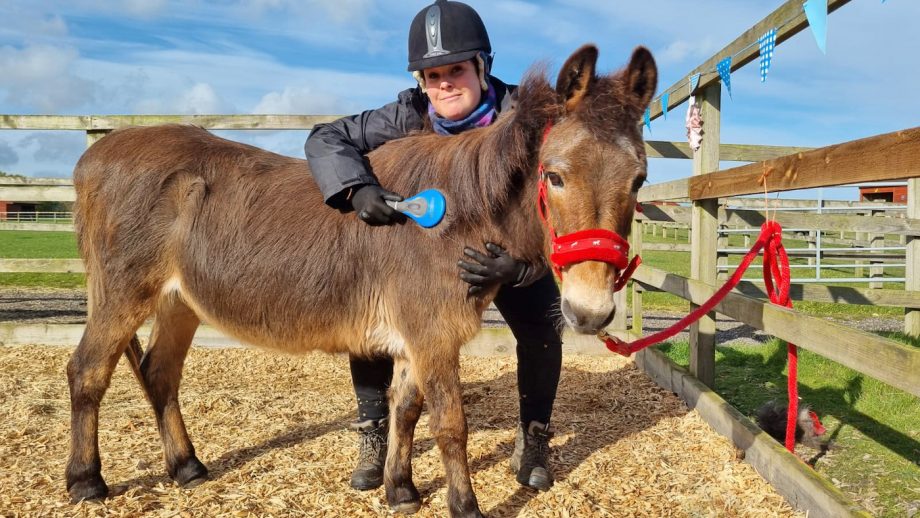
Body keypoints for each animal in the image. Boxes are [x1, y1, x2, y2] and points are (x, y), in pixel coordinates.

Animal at [65, 44, 656, 517]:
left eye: (640, 179)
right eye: (554, 176)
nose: (591, 311)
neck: (458, 214)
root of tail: (94, 154)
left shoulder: (419, 337)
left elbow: (406, 409)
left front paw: (401, 490)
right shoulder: (434, 337)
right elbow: (450, 425)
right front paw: (464, 506)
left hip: (179, 302)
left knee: (159, 374)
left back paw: (186, 468)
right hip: (123, 294)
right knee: (87, 371)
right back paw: (86, 481)